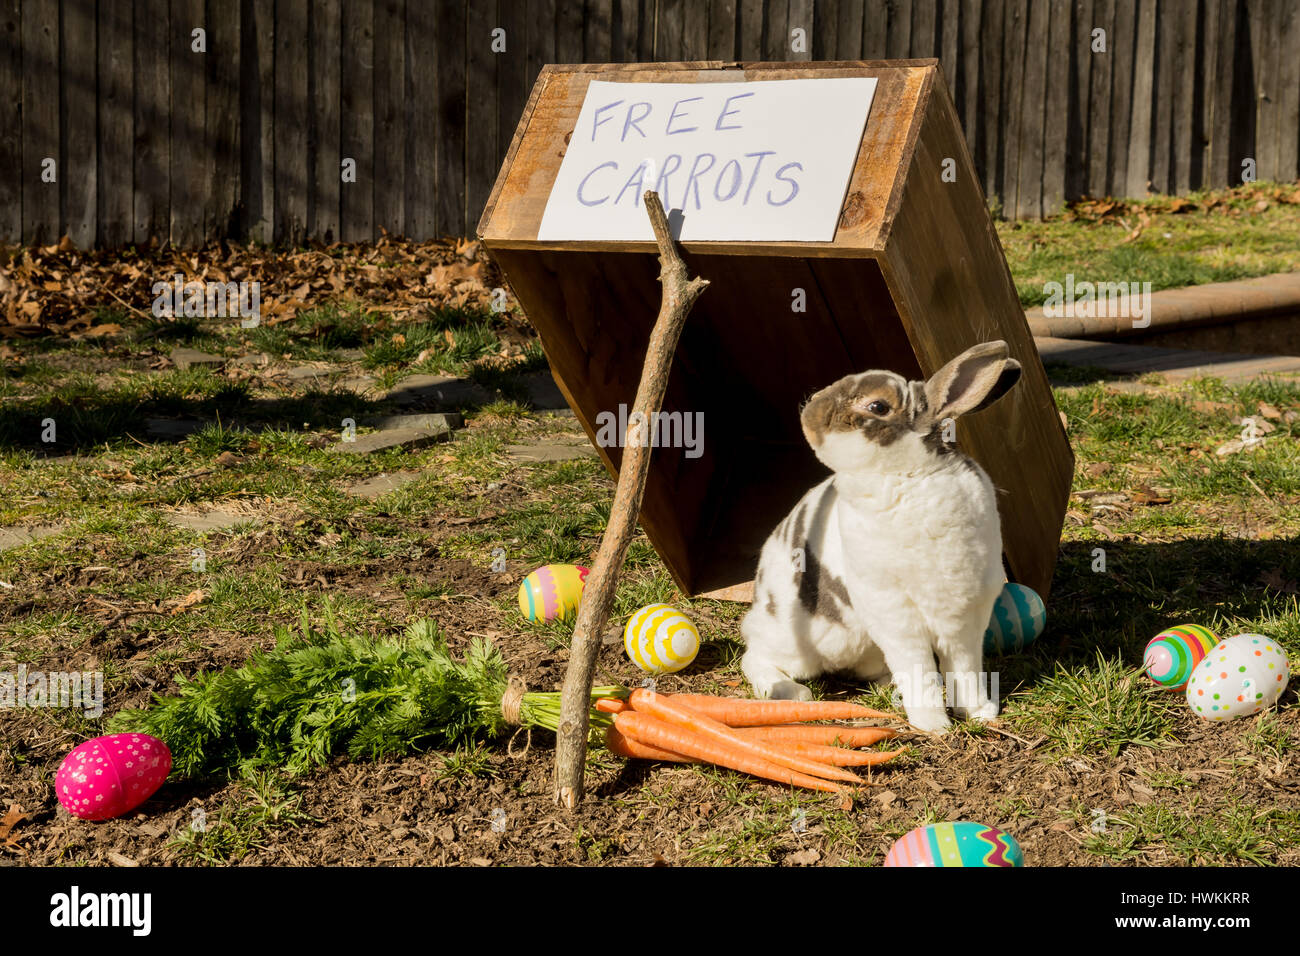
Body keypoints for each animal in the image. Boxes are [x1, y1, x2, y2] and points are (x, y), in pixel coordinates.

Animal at [739, 340, 1023, 733]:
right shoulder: (895, 614)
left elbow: (964, 667)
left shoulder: (966, 614)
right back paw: (791, 692)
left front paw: (979, 713)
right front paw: (933, 726)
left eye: (877, 406)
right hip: (806, 641)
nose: (809, 410)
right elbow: (919, 669)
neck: (909, 474)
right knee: (754, 656)